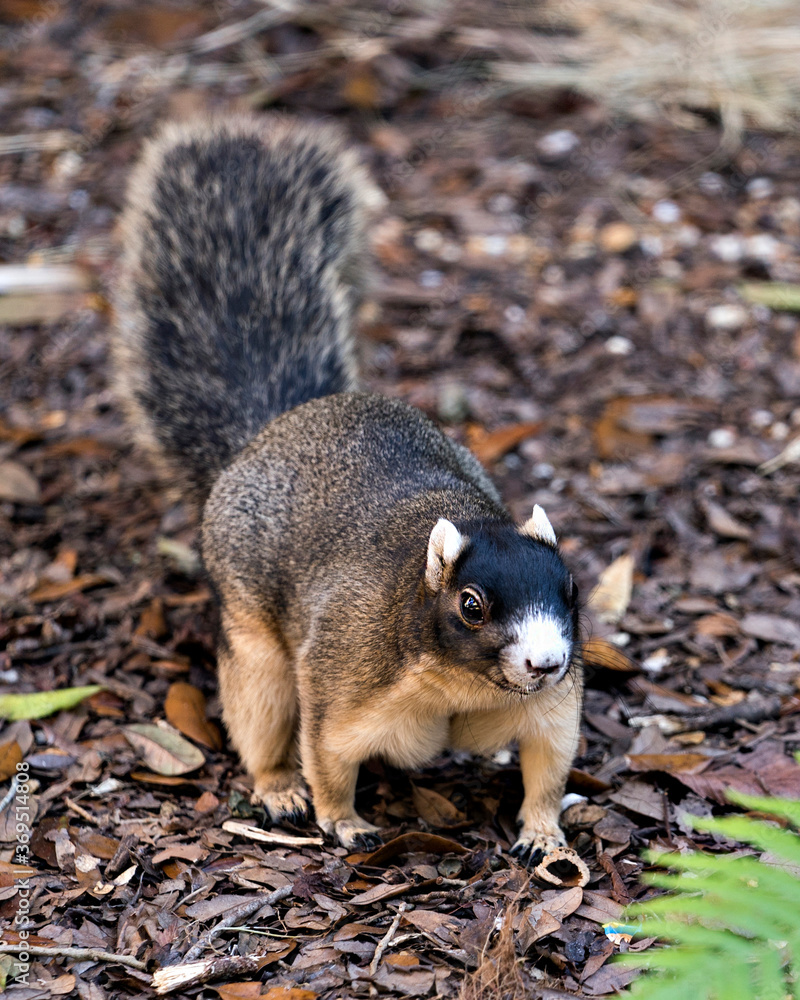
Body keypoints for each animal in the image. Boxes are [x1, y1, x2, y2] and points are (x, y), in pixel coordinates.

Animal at [114, 114, 582, 859]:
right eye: (471, 606)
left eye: (570, 590)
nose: (544, 662)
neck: (466, 686)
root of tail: (268, 433)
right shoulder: (343, 675)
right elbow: (328, 753)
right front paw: (343, 819)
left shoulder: (550, 708)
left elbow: (548, 763)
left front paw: (544, 834)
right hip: (252, 636)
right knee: (260, 714)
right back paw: (278, 789)